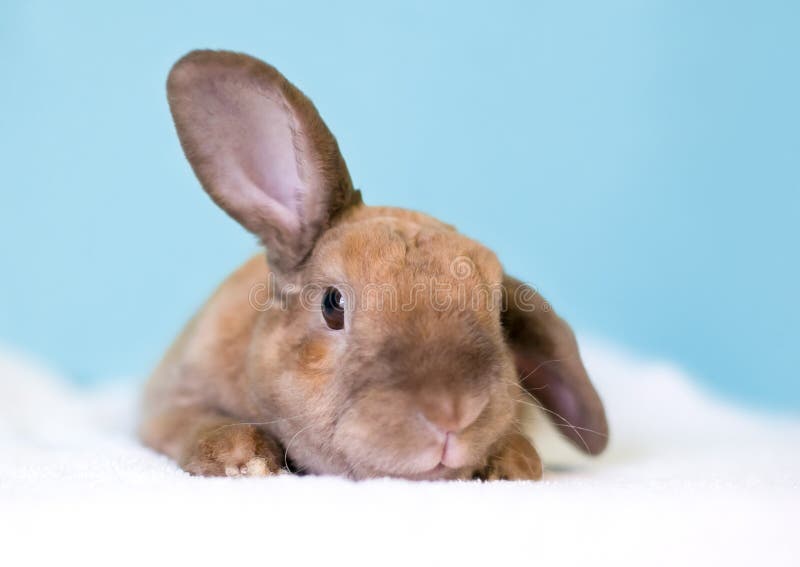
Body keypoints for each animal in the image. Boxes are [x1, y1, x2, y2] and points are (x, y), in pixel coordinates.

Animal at [139, 50, 609, 481]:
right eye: (332, 305)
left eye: (499, 315)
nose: (452, 413)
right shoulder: (172, 406)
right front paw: (244, 459)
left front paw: (513, 463)